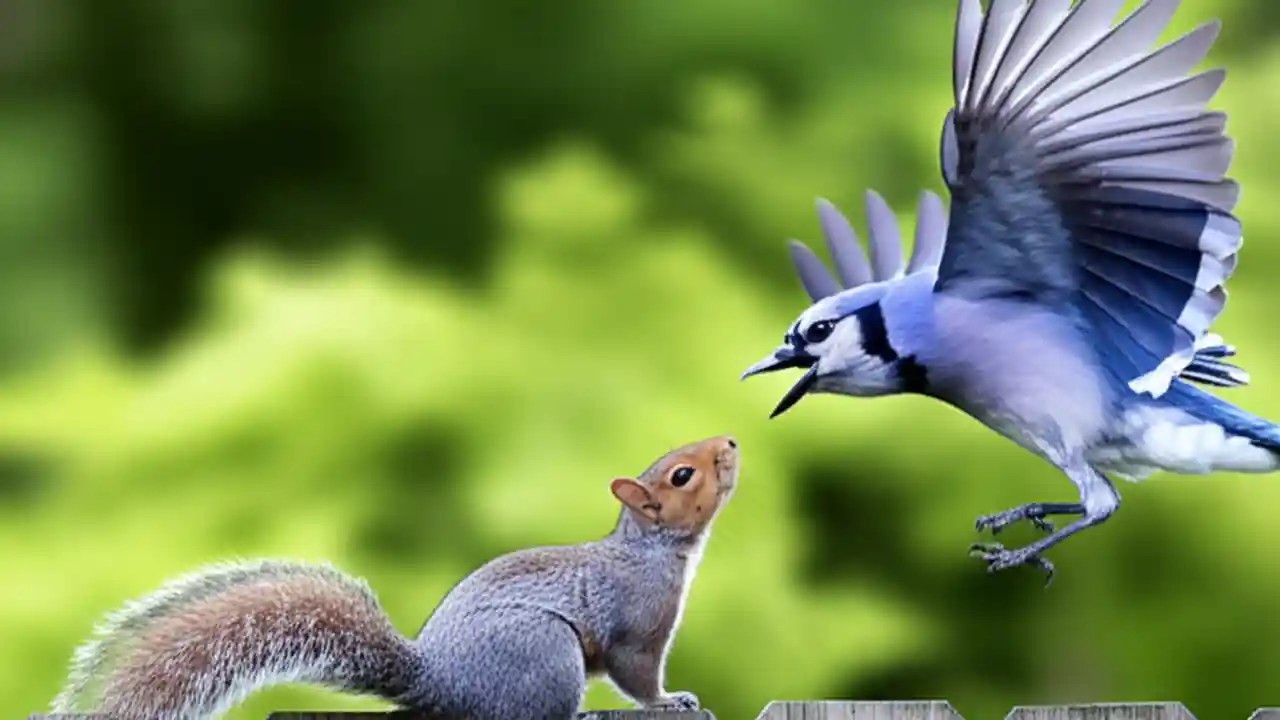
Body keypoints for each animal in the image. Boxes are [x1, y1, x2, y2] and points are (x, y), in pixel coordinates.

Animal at [50, 435, 739, 720]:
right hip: (542, 652)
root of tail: (440, 684)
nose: (730, 442)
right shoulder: (634, 627)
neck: (651, 551)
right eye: (681, 475)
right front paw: (670, 701)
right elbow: (636, 676)